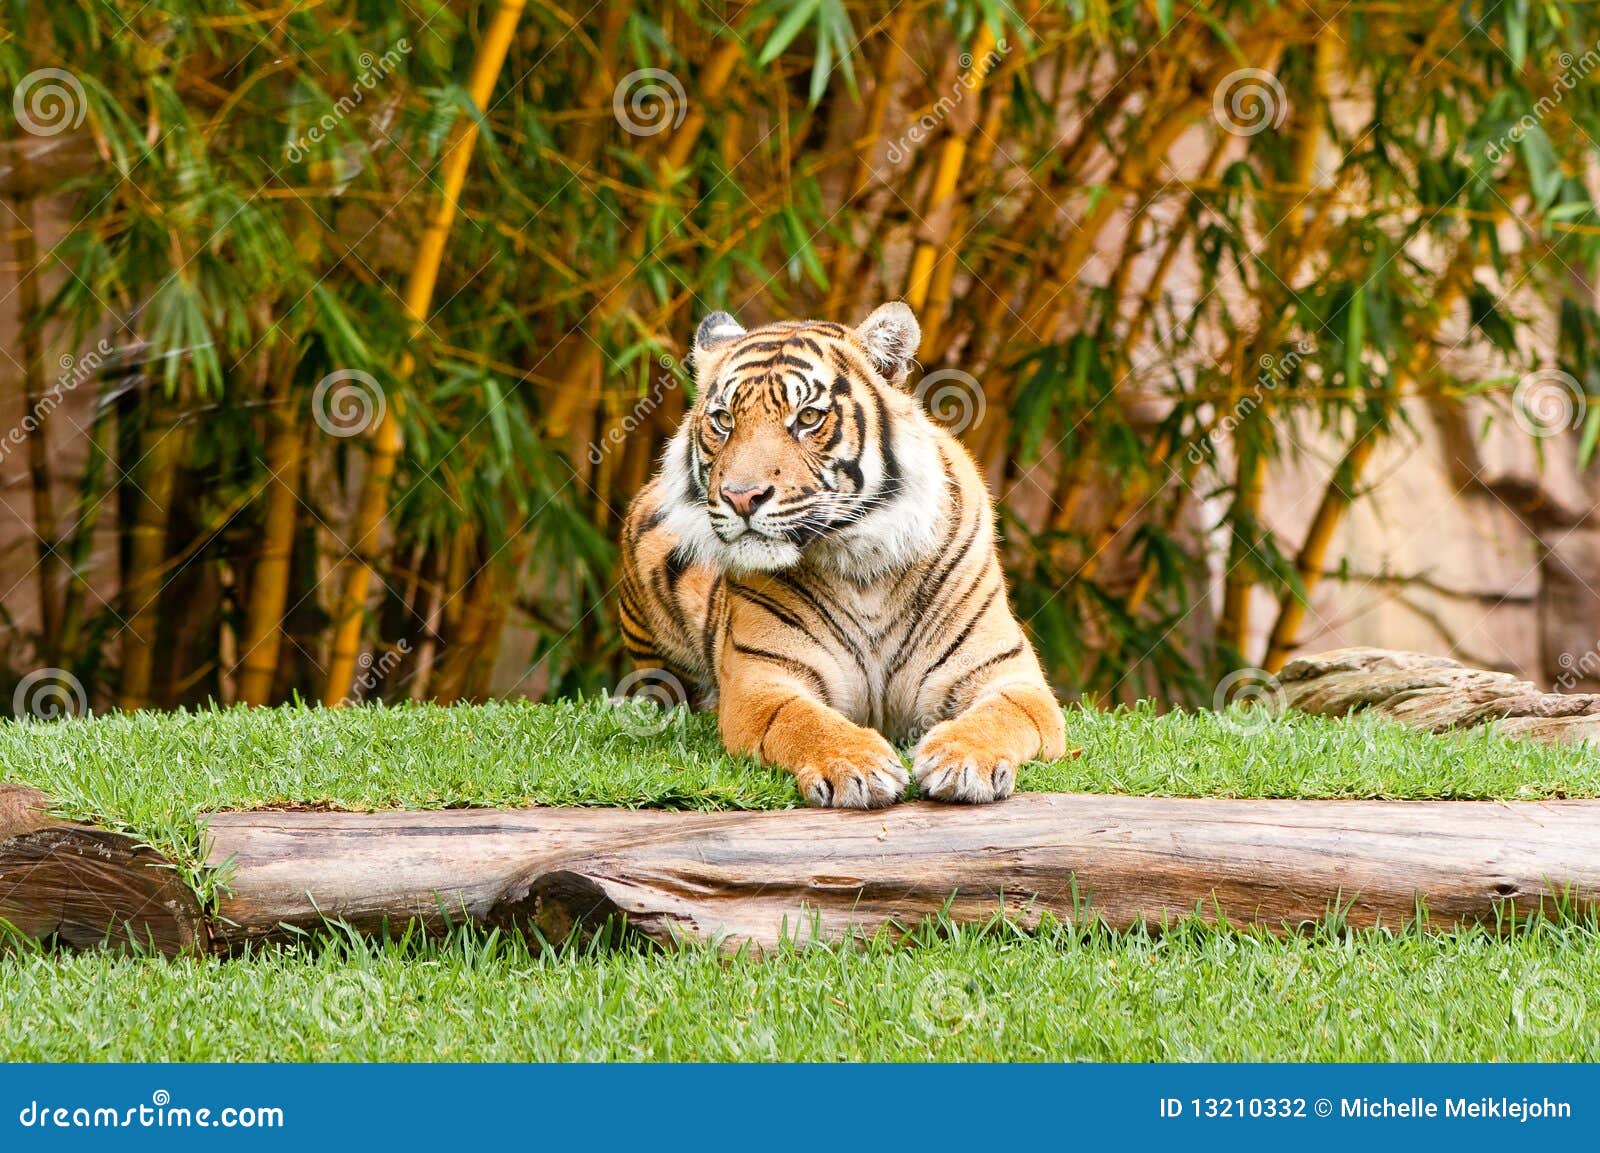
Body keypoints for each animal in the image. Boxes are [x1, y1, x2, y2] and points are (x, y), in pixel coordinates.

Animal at [617, 301, 1067, 808]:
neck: (861, 564)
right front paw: (857, 764)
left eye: (809, 417)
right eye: (725, 420)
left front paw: (964, 759)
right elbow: (803, 720)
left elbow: (1002, 714)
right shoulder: (762, 682)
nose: (740, 496)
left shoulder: (1012, 677)